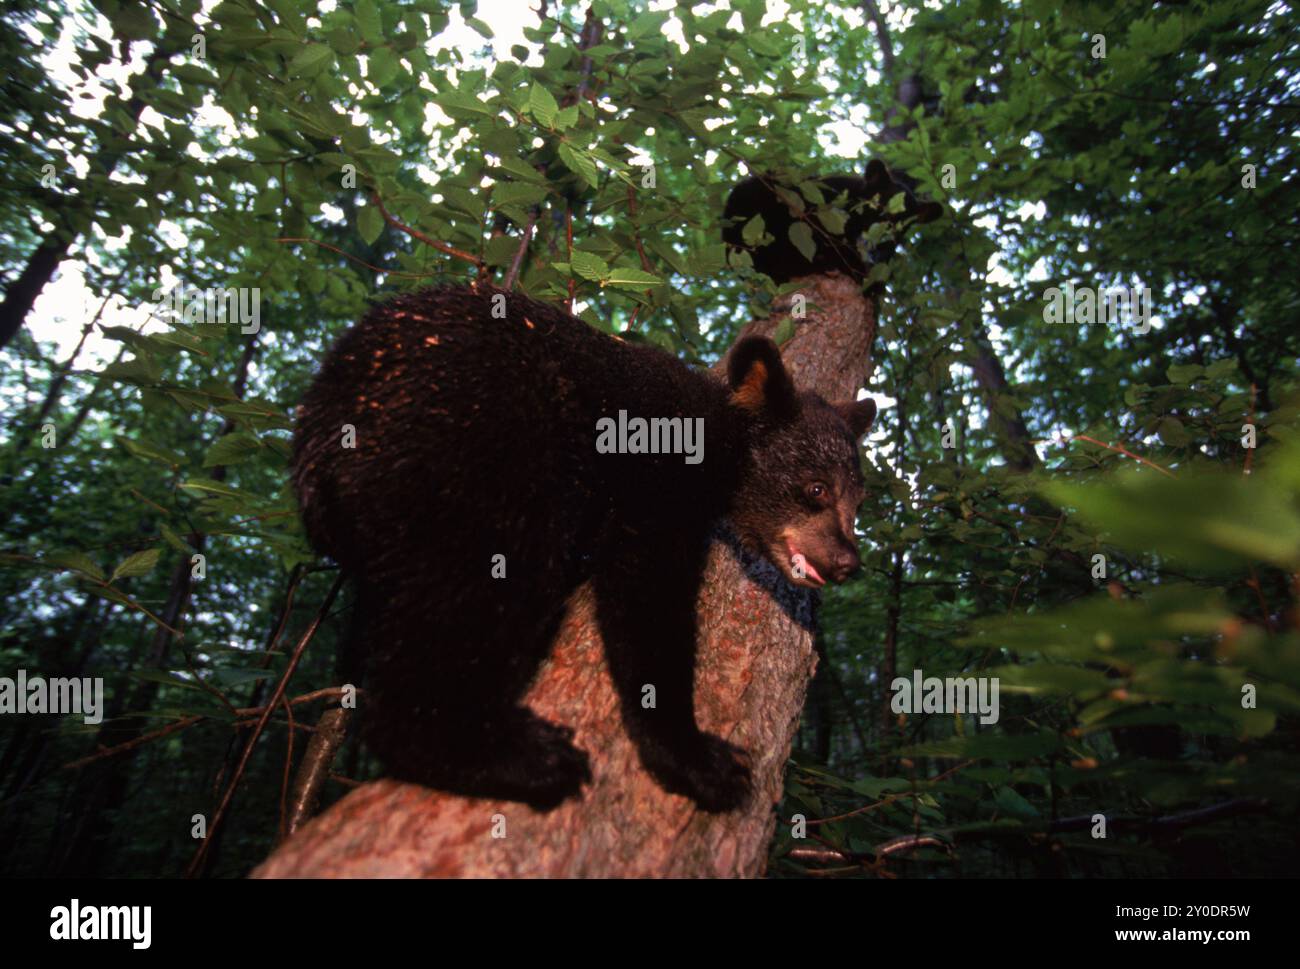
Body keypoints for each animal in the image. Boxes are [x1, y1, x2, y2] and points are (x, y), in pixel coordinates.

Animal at [291, 282, 876, 812]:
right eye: (816, 489)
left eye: (858, 501)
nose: (848, 562)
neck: (714, 433)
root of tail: (320, 438)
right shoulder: (658, 482)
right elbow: (645, 592)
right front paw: (693, 758)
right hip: (478, 452)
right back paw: (510, 757)